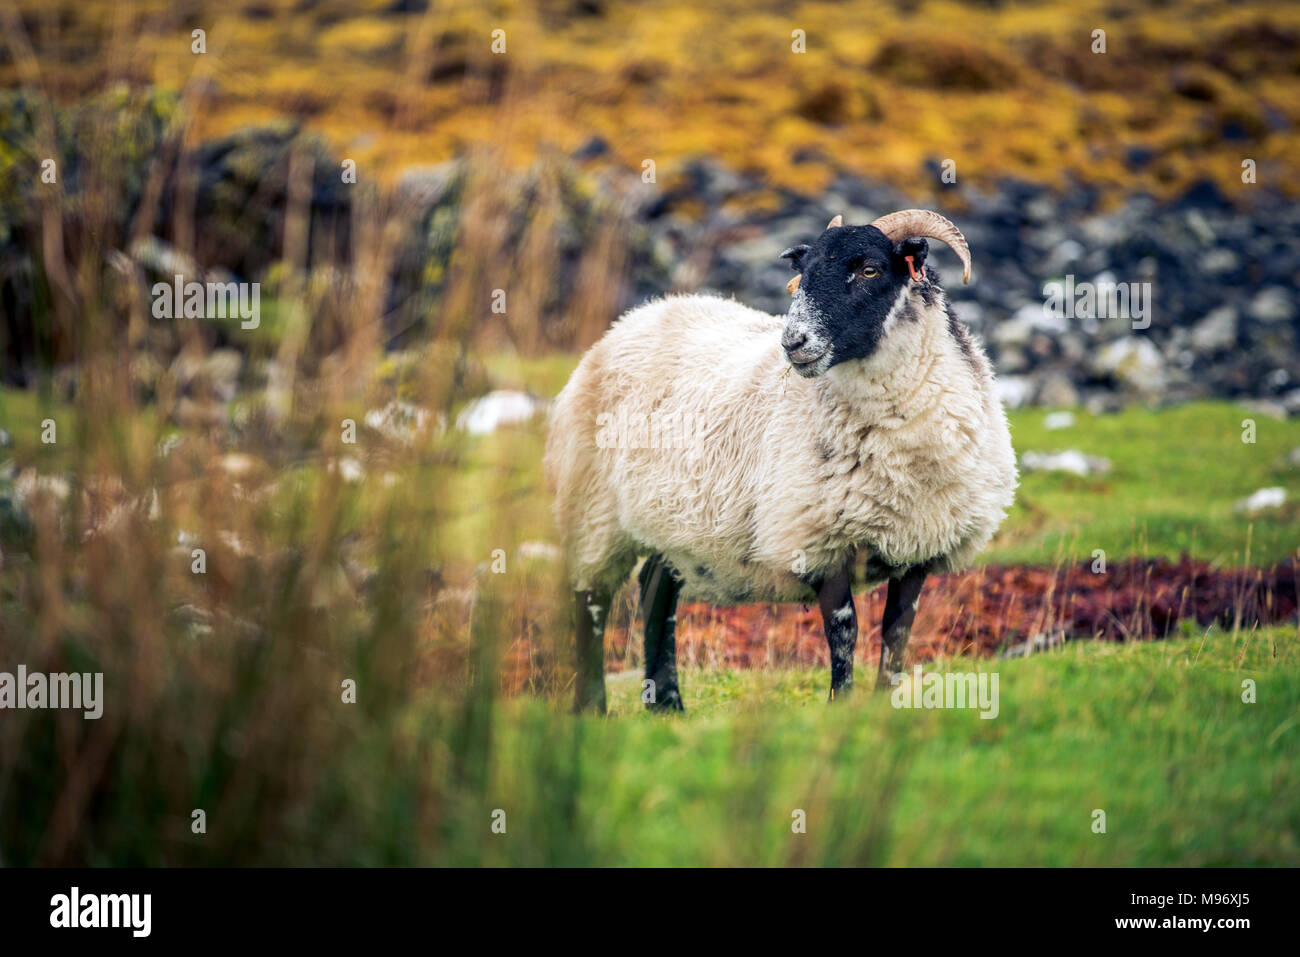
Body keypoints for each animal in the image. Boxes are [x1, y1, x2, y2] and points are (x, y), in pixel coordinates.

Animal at [544, 209, 1017, 712]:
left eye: (870, 270)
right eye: (803, 273)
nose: (793, 342)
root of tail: (634, 318)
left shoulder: (920, 547)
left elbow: (897, 633)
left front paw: (881, 705)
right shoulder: (816, 541)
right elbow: (844, 631)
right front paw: (840, 705)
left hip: (671, 522)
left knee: (657, 589)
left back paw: (667, 705)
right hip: (593, 511)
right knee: (591, 604)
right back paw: (592, 708)